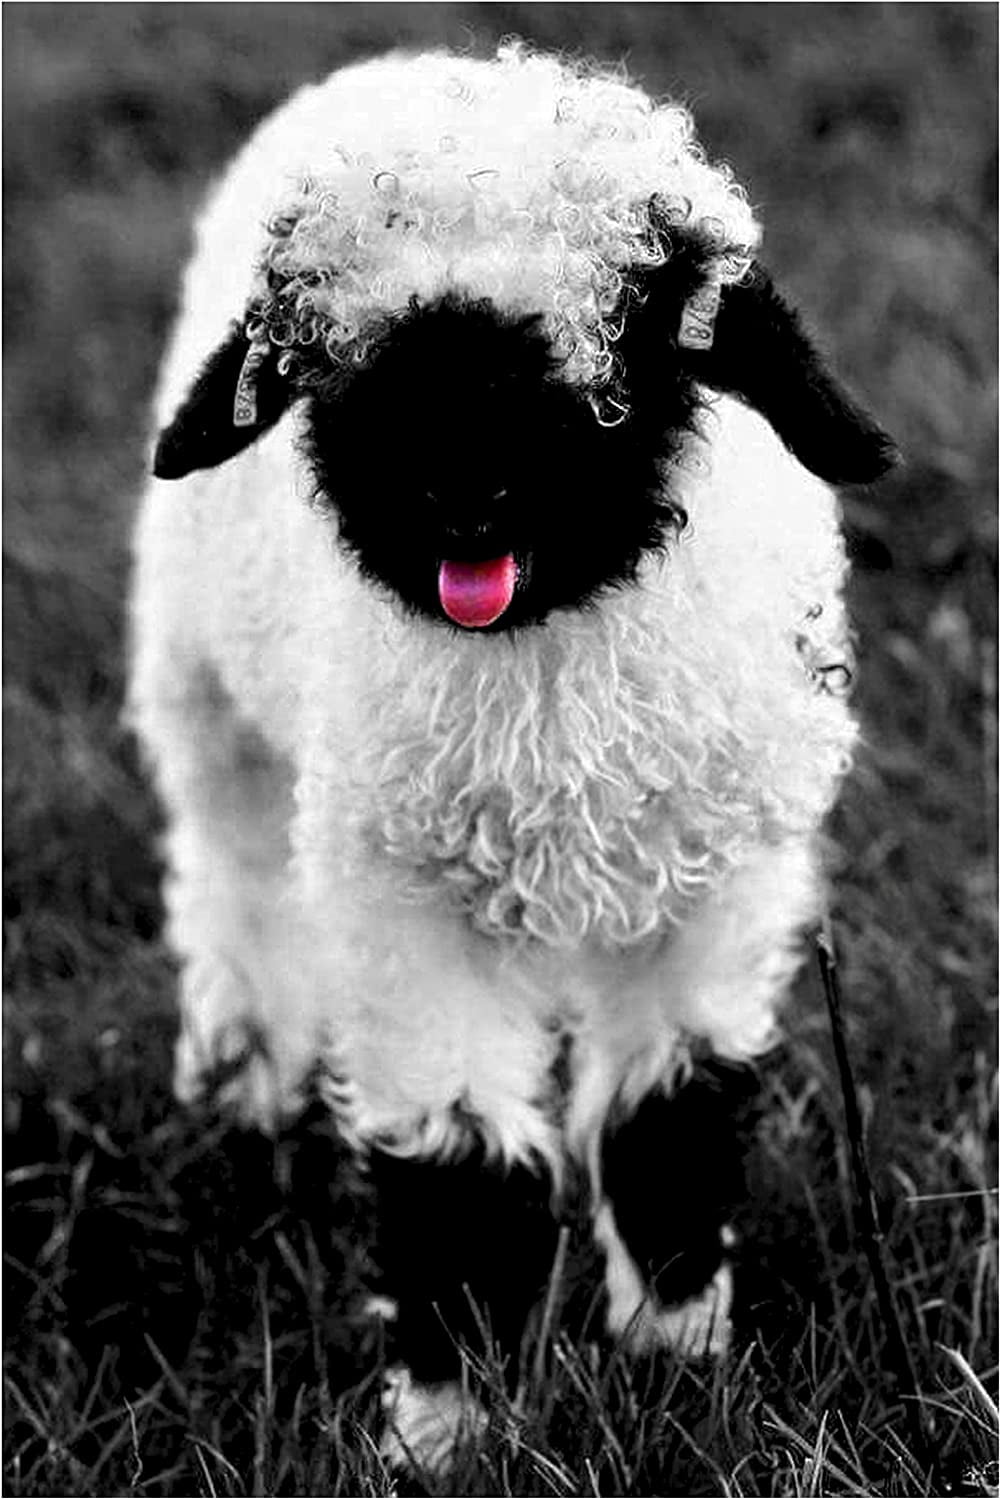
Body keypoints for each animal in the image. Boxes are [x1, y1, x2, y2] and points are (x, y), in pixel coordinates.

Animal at [128, 41, 896, 1473]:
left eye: (631, 322)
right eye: (338, 353)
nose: (461, 489)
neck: (545, 695)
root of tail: (411, 56)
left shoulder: (717, 883)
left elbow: (666, 1114)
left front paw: (676, 1361)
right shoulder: (403, 902)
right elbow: (455, 1167)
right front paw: (452, 1427)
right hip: (208, 703)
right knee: (233, 880)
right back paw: (244, 1074)